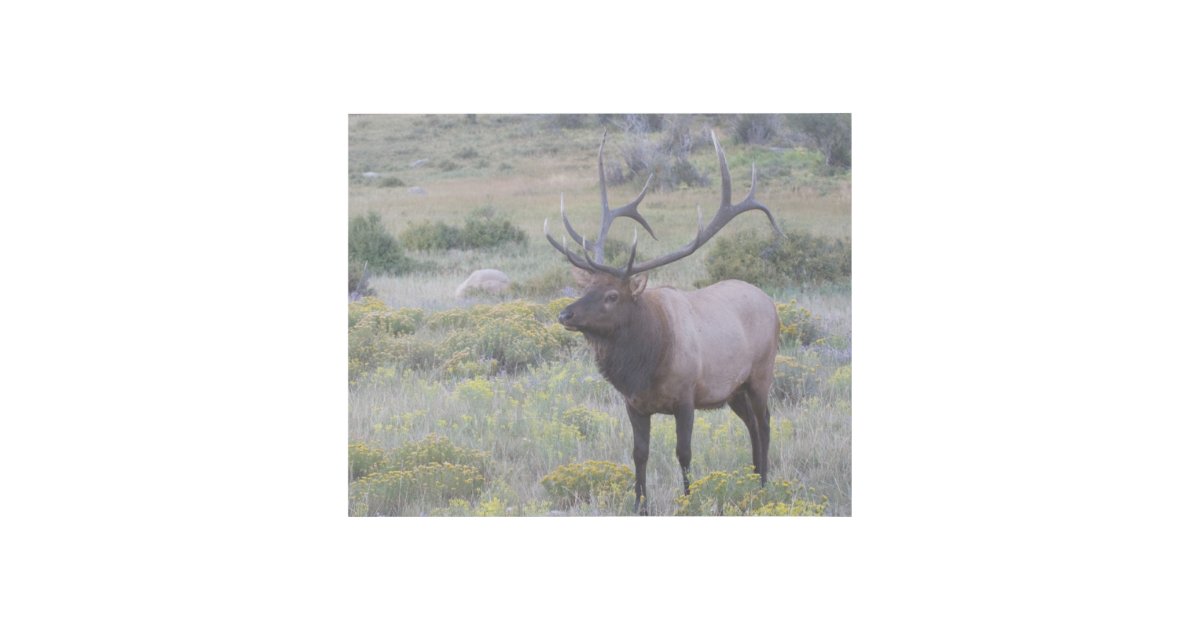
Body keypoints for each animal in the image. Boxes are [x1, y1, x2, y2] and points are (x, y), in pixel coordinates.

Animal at [544, 130, 783, 515]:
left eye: (612, 295)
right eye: (587, 287)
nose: (565, 314)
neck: (646, 364)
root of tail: (771, 304)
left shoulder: (686, 398)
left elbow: (683, 453)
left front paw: (688, 499)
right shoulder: (634, 404)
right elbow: (639, 454)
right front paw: (639, 505)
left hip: (762, 373)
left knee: (765, 422)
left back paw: (763, 483)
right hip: (733, 390)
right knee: (750, 424)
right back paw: (753, 476)